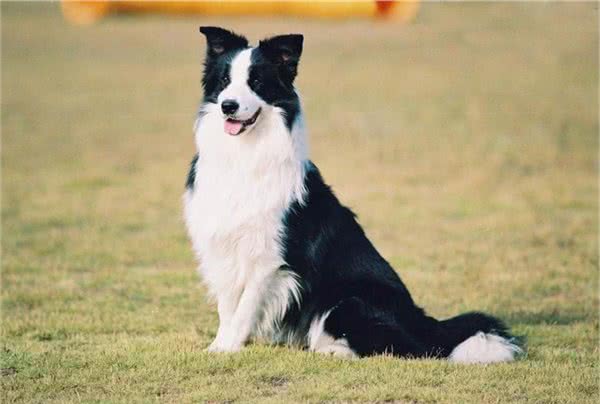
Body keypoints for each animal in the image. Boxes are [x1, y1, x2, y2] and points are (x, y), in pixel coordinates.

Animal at [182, 27, 520, 362]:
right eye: (224, 81)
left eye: (257, 83)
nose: (228, 105)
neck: (243, 154)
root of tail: (422, 321)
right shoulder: (223, 246)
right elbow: (228, 309)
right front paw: (218, 346)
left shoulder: (268, 256)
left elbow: (244, 309)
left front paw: (227, 349)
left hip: (347, 300)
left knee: (406, 349)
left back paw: (333, 351)